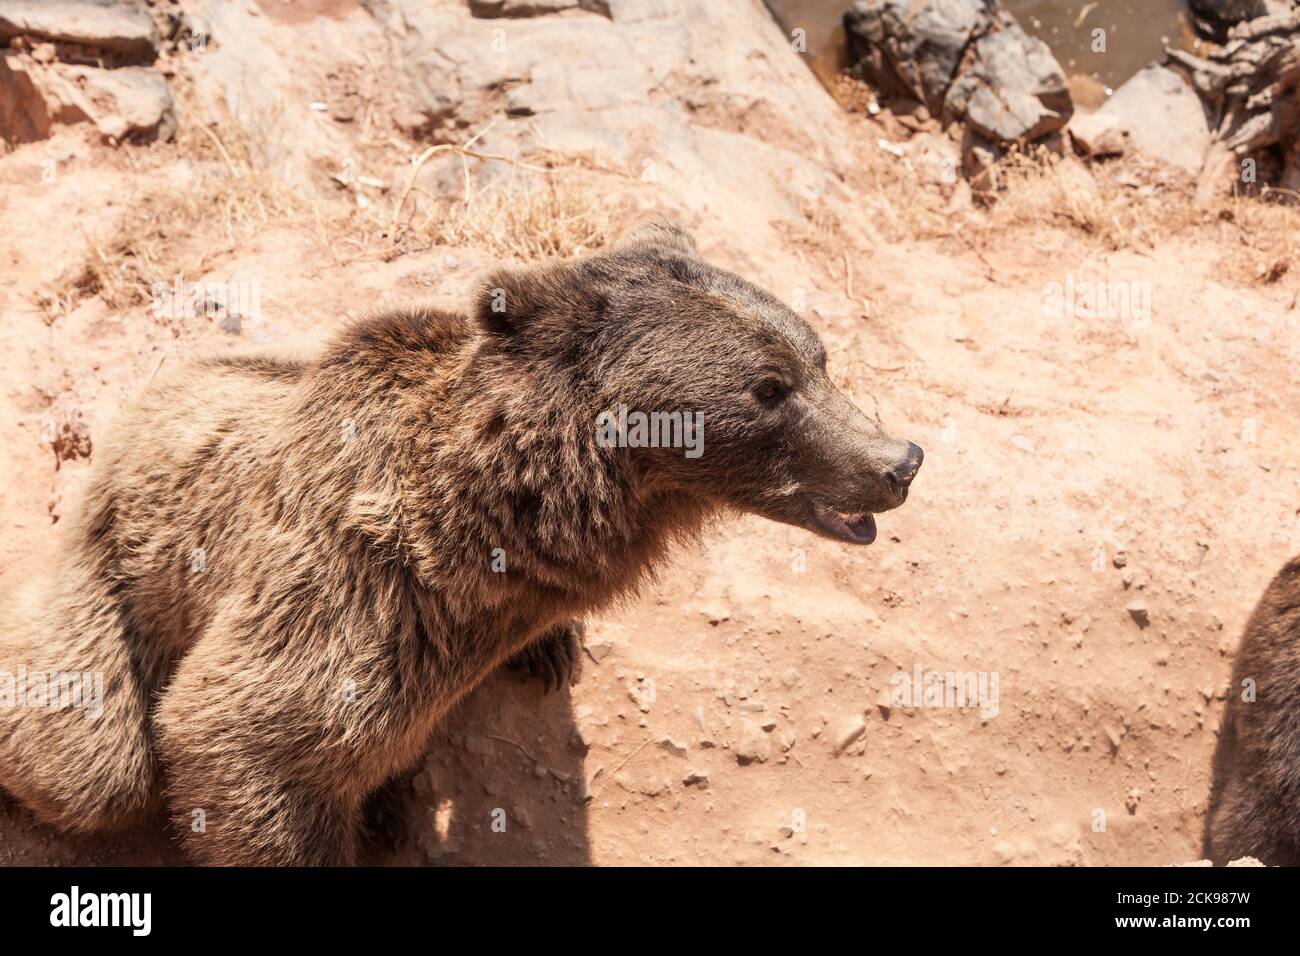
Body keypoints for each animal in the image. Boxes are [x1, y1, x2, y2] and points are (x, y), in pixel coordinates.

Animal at [0, 219, 923, 865]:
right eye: (769, 388)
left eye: (818, 357)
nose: (899, 461)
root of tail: (142, 404)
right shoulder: (358, 590)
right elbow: (239, 733)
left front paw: (552, 642)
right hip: (117, 572)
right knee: (86, 761)